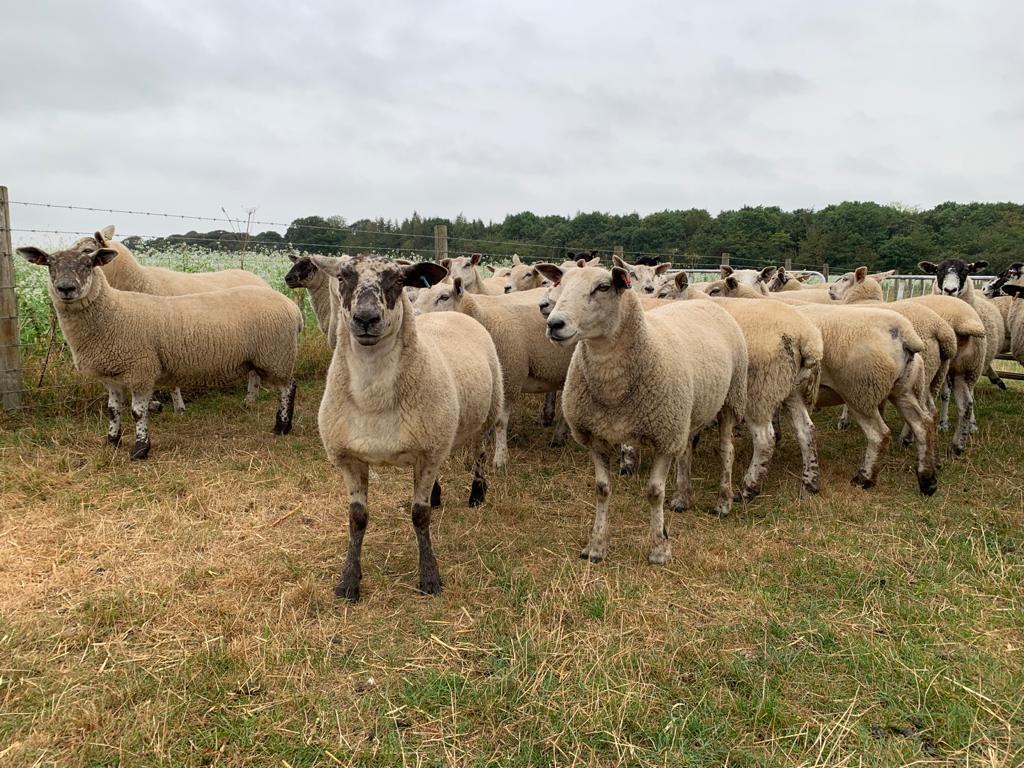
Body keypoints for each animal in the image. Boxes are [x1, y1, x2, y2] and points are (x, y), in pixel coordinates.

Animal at [83, 226, 270, 412]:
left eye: (87, 250)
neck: (139, 280)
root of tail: (260, 280)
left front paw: (178, 408)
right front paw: (153, 404)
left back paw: (250, 398)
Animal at [311, 255, 503, 601]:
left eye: (398, 281)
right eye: (343, 277)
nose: (365, 318)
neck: (373, 398)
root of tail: (454, 313)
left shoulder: (427, 452)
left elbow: (419, 516)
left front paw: (429, 577)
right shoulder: (349, 458)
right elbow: (356, 519)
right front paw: (349, 582)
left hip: (490, 407)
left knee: (481, 450)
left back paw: (478, 492)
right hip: (438, 431)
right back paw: (438, 493)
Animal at [412, 277, 572, 467]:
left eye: (444, 297)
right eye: (418, 295)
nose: (414, 316)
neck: (482, 318)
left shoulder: (509, 379)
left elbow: (501, 422)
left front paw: (500, 458)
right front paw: (487, 440)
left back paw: (558, 436)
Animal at [545, 266, 748, 563]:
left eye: (603, 287)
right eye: (561, 283)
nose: (554, 324)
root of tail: (706, 303)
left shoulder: (664, 438)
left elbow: (654, 493)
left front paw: (659, 549)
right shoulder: (595, 436)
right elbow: (602, 490)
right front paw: (596, 546)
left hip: (730, 399)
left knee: (727, 450)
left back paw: (724, 502)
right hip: (686, 412)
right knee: (686, 449)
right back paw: (682, 498)